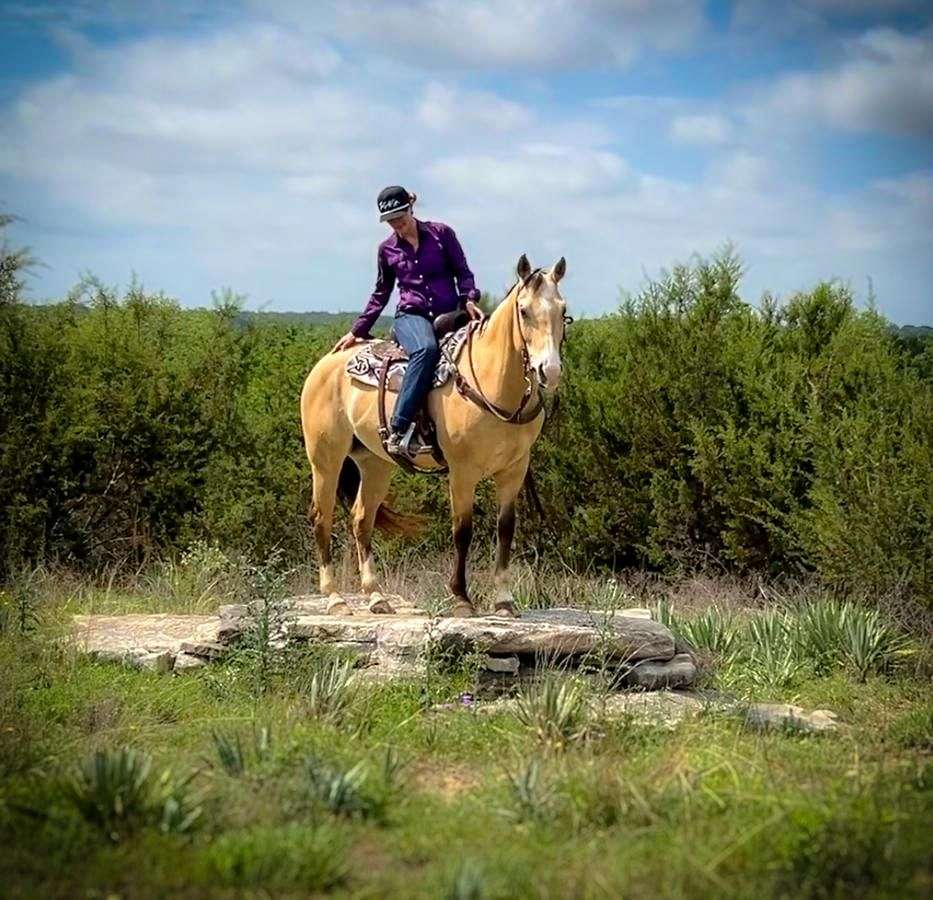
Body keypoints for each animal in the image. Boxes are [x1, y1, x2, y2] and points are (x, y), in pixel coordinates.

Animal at [299, 253, 569, 618]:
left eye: (562, 310)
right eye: (524, 311)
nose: (549, 371)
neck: (492, 381)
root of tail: (326, 362)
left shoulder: (514, 470)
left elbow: (506, 529)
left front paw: (504, 600)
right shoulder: (462, 471)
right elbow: (463, 529)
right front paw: (461, 598)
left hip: (374, 464)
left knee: (361, 519)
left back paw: (376, 596)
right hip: (326, 459)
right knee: (321, 518)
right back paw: (335, 598)